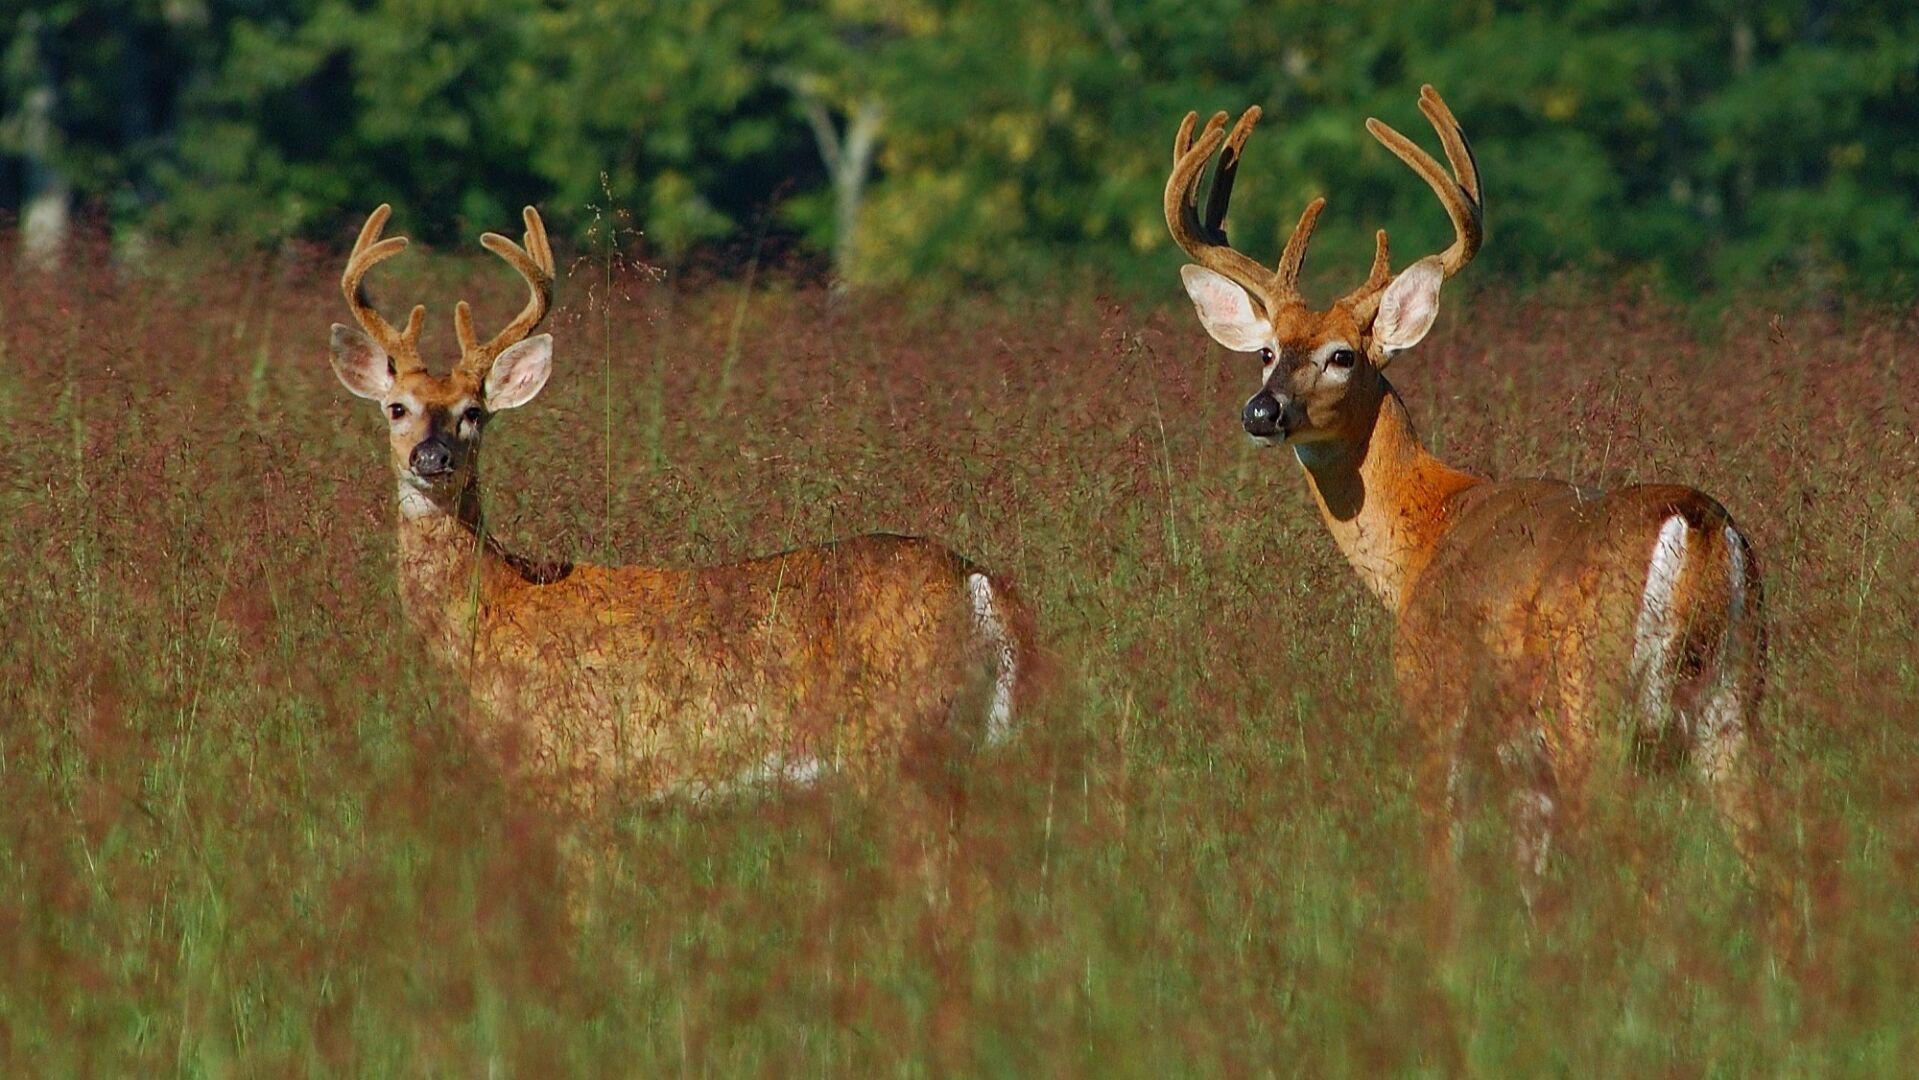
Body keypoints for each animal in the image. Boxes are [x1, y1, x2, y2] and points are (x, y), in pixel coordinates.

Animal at [326, 204, 1036, 814]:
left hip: (898, 739)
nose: (432, 457)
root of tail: (976, 580)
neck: (497, 607)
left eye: (474, 413)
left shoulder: (578, 769)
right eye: (397, 407)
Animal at [1164, 87, 1772, 904]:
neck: (1421, 537)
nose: (1261, 413)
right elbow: (1530, 885)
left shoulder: (1432, 704)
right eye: (1265, 351)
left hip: (1592, 697)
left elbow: (1442, 863)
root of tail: (1698, 523)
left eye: (1341, 356)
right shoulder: (1527, 770)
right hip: (1732, 704)